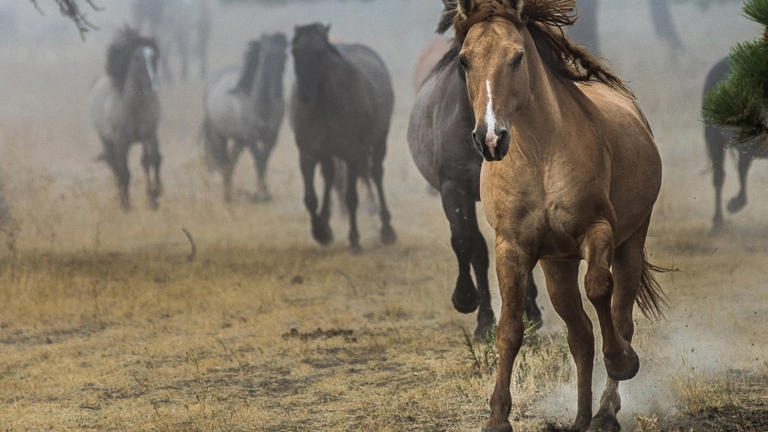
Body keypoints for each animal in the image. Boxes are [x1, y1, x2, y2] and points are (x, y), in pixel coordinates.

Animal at [90, 27, 162, 211]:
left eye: (154, 57)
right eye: (137, 58)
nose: (153, 89)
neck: (133, 107)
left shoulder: (149, 135)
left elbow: (153, 160)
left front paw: (155, 196)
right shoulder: (121, 141)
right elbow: (125, 172)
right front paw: (127, 206)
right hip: (108, 141)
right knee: (116, 168)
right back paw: (123, 200)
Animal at [203, 33, 288, 202]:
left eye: (284, 56)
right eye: (265, 57)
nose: (277, 91)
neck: (261, 105)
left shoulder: (272, 135)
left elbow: (264, 159)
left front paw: (264, 192)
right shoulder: (251, 136)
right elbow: (259, 159)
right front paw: (260, 194)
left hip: (239, 140)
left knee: (231, 160)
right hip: (218, 135)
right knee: (223, 159)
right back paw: (227, 194)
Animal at [290, 23, 396, 252]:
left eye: (321, 53)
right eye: (294, 52)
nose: (304, 96)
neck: (324, 105)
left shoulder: (352, 154)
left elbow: (351, 197)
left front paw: (354, 240)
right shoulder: (308, 154)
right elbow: (310, 198)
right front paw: (320, 232)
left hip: (379, 141)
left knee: (376, 174)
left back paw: (387, 230)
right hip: (328, 153)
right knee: (329, 177)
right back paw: (325, 221)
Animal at [408, 6, 542, 340]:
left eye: (517, 57)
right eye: (464, 60)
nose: (491, 138)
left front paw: (528, 313)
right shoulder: (454, 189)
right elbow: (467, 243)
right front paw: (473, 308)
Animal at [442, 1, 666, 430]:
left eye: (517, 57)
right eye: (464, 60)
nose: (491, 139)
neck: (539, 155)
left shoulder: (598, 230)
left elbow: (598, 288)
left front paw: (623, 362)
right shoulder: (513, 249)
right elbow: (510, 329)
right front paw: (497, 417)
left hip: (630, 243)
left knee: (620, 316)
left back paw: (606, 411)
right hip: (556, 266)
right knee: (580, 334)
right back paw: (581, 417)